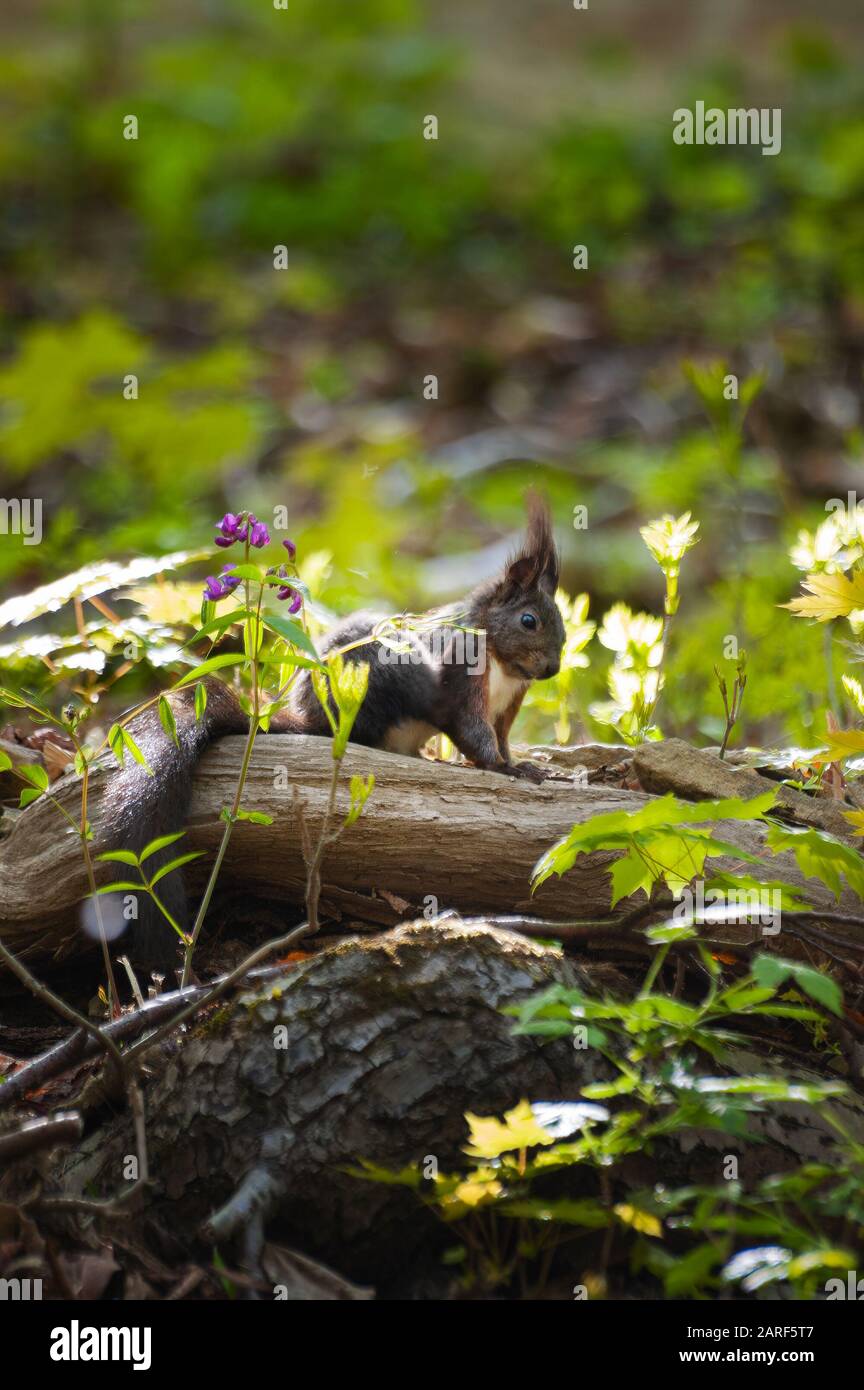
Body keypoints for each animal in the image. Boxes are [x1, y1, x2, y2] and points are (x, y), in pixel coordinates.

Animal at [107, 495, 566, 972]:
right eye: (529, 620)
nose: (553, 667)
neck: (502, 660)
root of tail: (317, 722)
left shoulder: (507, 708)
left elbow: (502, 737)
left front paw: (522, 762)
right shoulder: (462, 676)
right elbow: (474, 735)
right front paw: (506, 770)